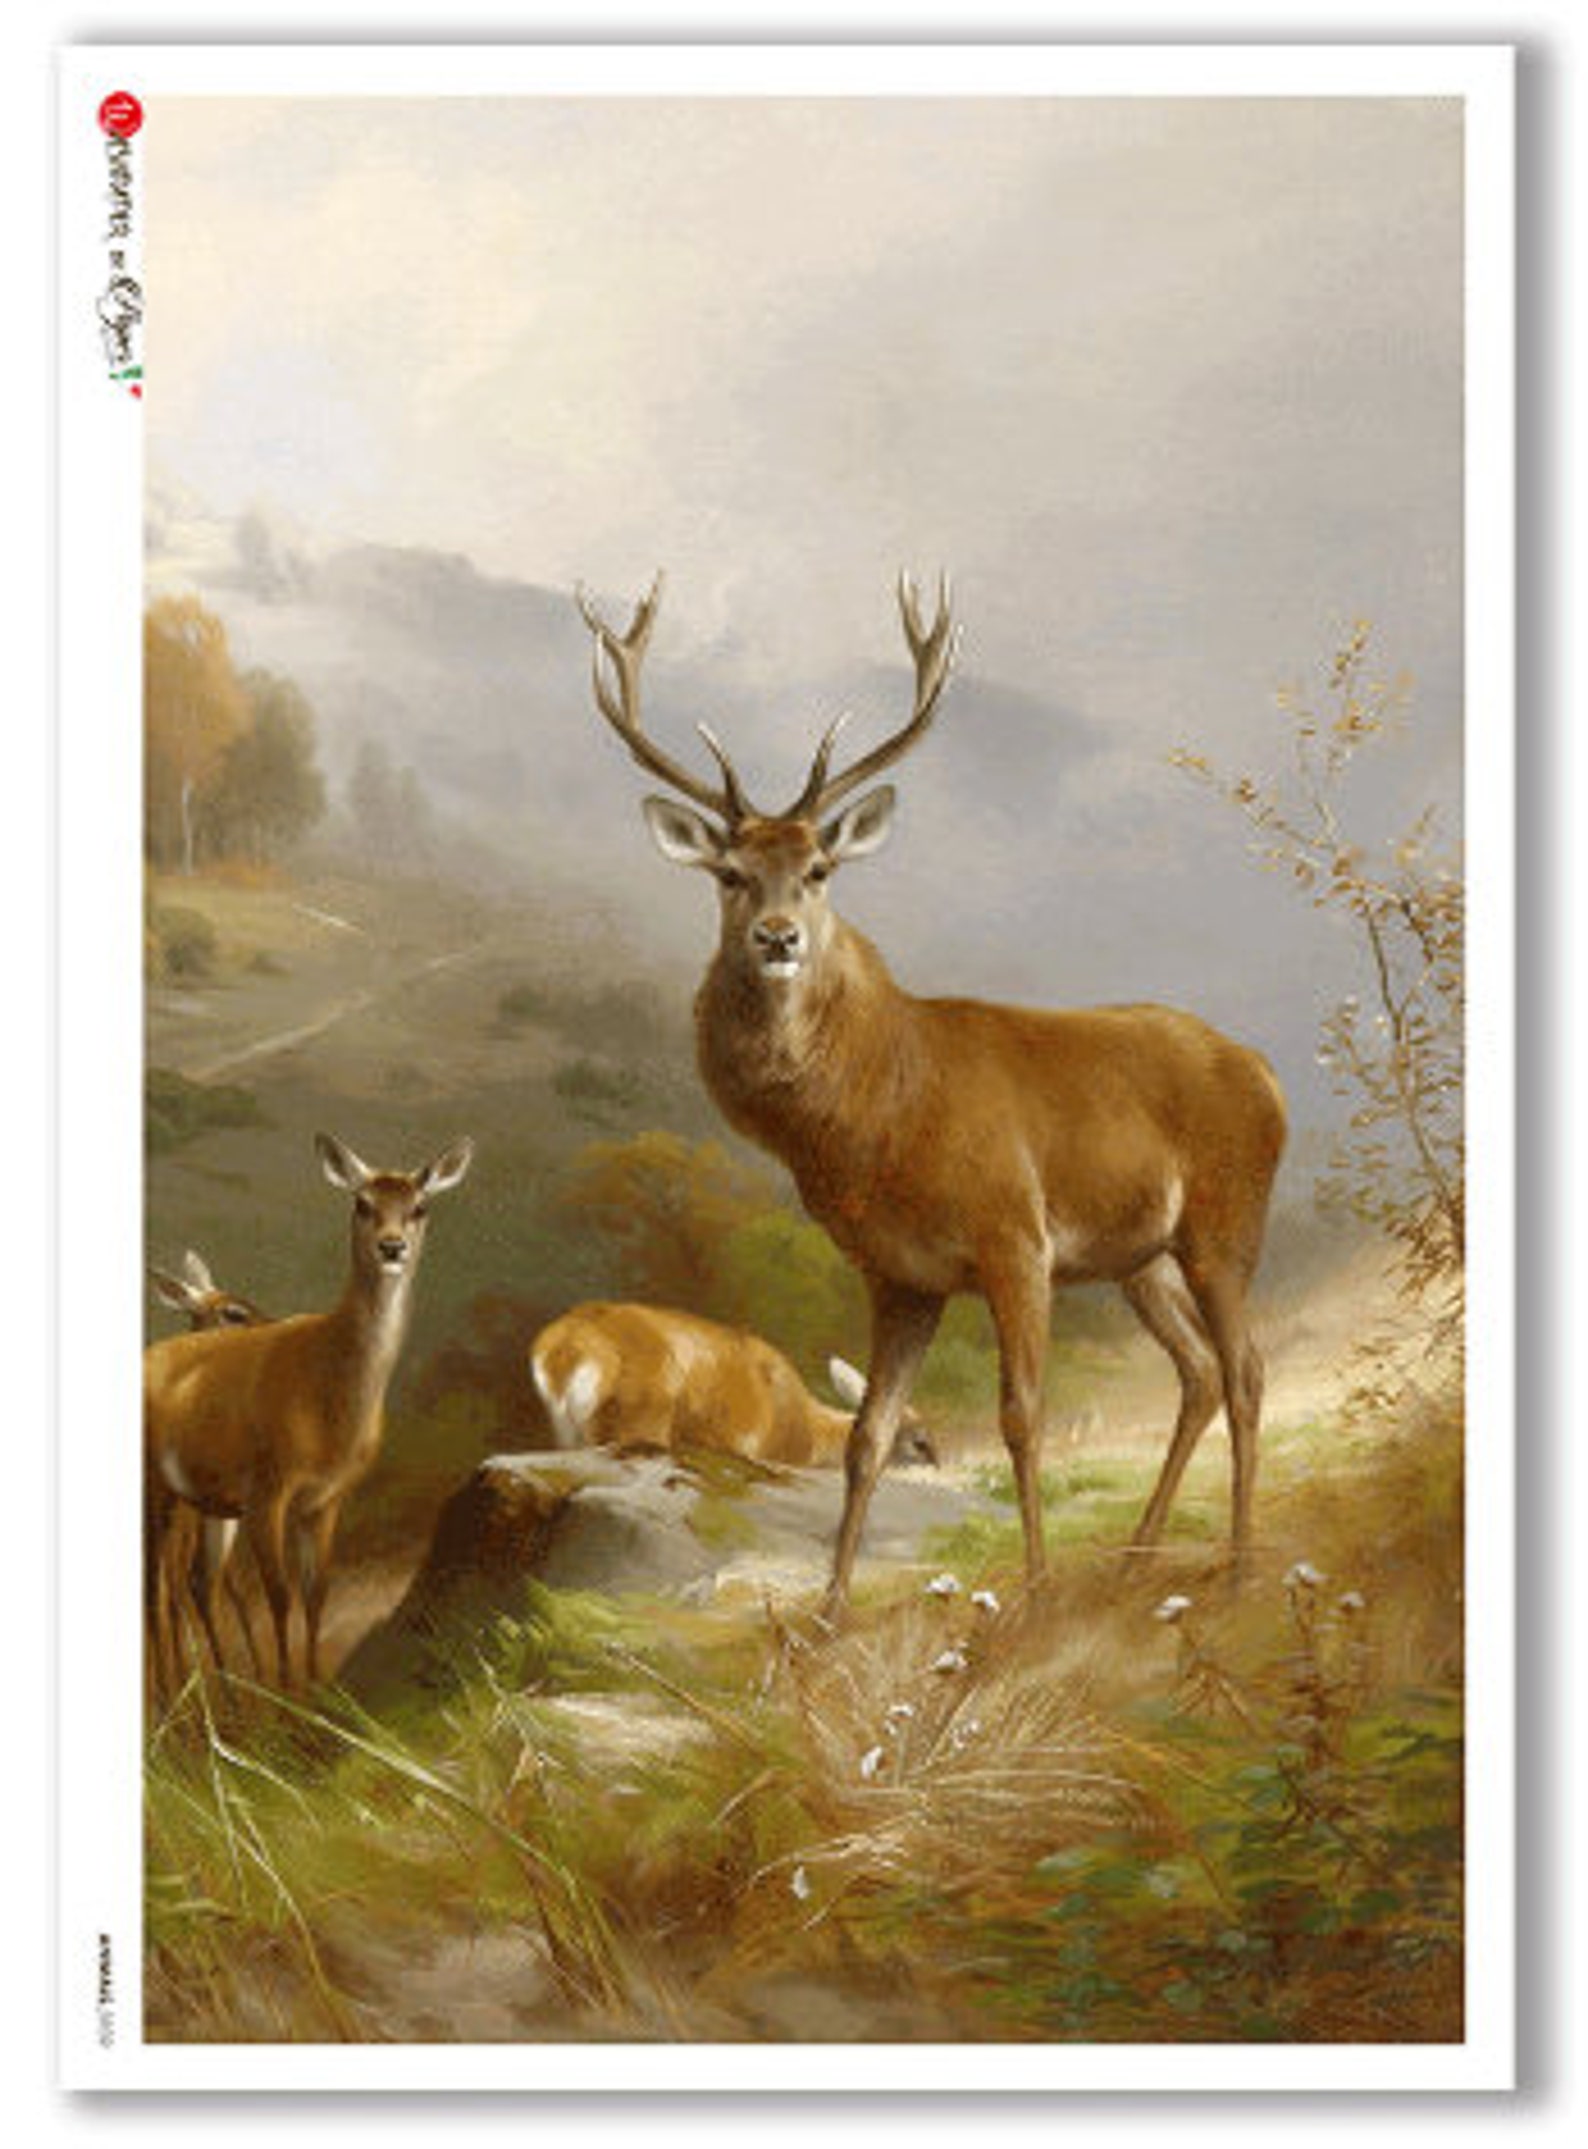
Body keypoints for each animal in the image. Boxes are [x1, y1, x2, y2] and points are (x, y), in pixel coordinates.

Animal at [143, 1133, 474, 1691]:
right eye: (362, 1203)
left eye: (419, 1206)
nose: (392, 1247)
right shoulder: (267, 1491)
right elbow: (280, 1597)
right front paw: (285, 1695)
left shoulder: (325, 1499)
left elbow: (315, 1594)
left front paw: (318, 1692)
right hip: (160, 1491)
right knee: (156, 1589)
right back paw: (177, 1701)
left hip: (204, 1506)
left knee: (195, 1585)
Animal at [575, 571, 1287, 1623]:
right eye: (731, 874)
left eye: (819, 869)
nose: (779, 936)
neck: (882, 1116)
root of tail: (1267, 1075)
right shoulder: (898, 1273)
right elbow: (869, 1437)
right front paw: (828, 1609)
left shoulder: (1015, 1236)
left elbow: (1022, 1415)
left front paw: (1035, 1590)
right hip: (1139, 1258)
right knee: (1197, 1372)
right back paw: (1135, 1559)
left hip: (1223, 1222)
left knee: (1244, 1370)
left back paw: (1236, 1567)